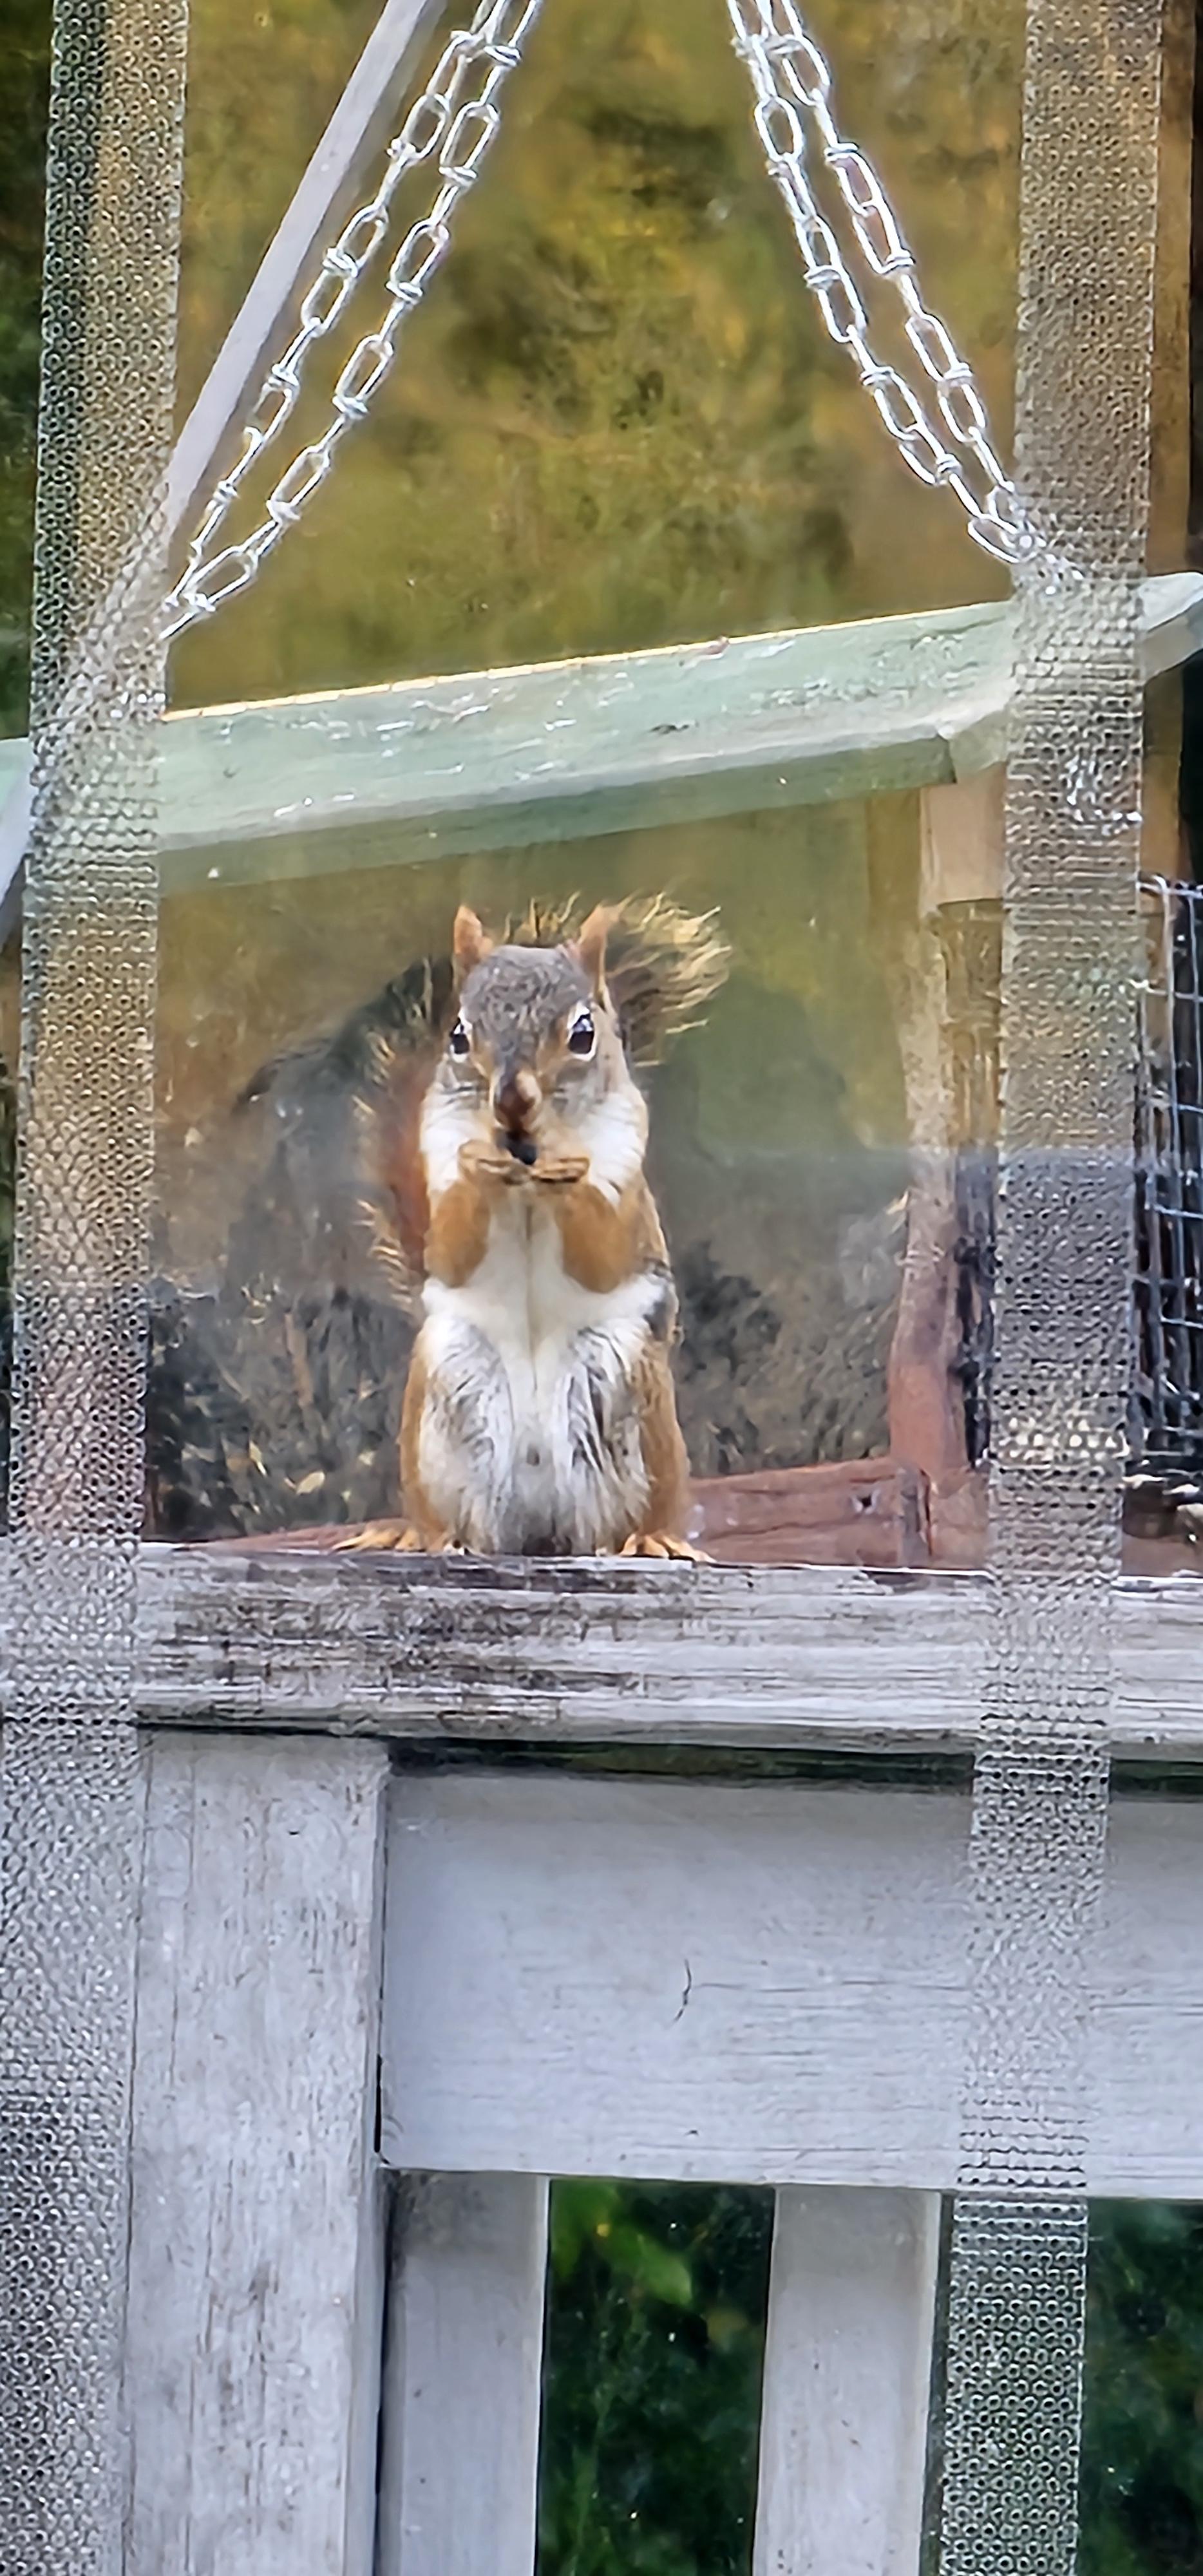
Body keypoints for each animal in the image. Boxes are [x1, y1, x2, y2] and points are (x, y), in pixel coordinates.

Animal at [336, 894, 729, 1559]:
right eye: (459, 1035)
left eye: (583, 1034)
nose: (511, 1103)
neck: (523, 1178)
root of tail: (540, 1530)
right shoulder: (440, 1162)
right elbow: (450, 1250)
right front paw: (481, 1168)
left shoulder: (625, 1174)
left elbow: (603, 1253)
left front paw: (568, 1171)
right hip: (452, 1387)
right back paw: (426, 1535)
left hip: (623, 1387)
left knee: (628, 1519)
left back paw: (651, 1539)